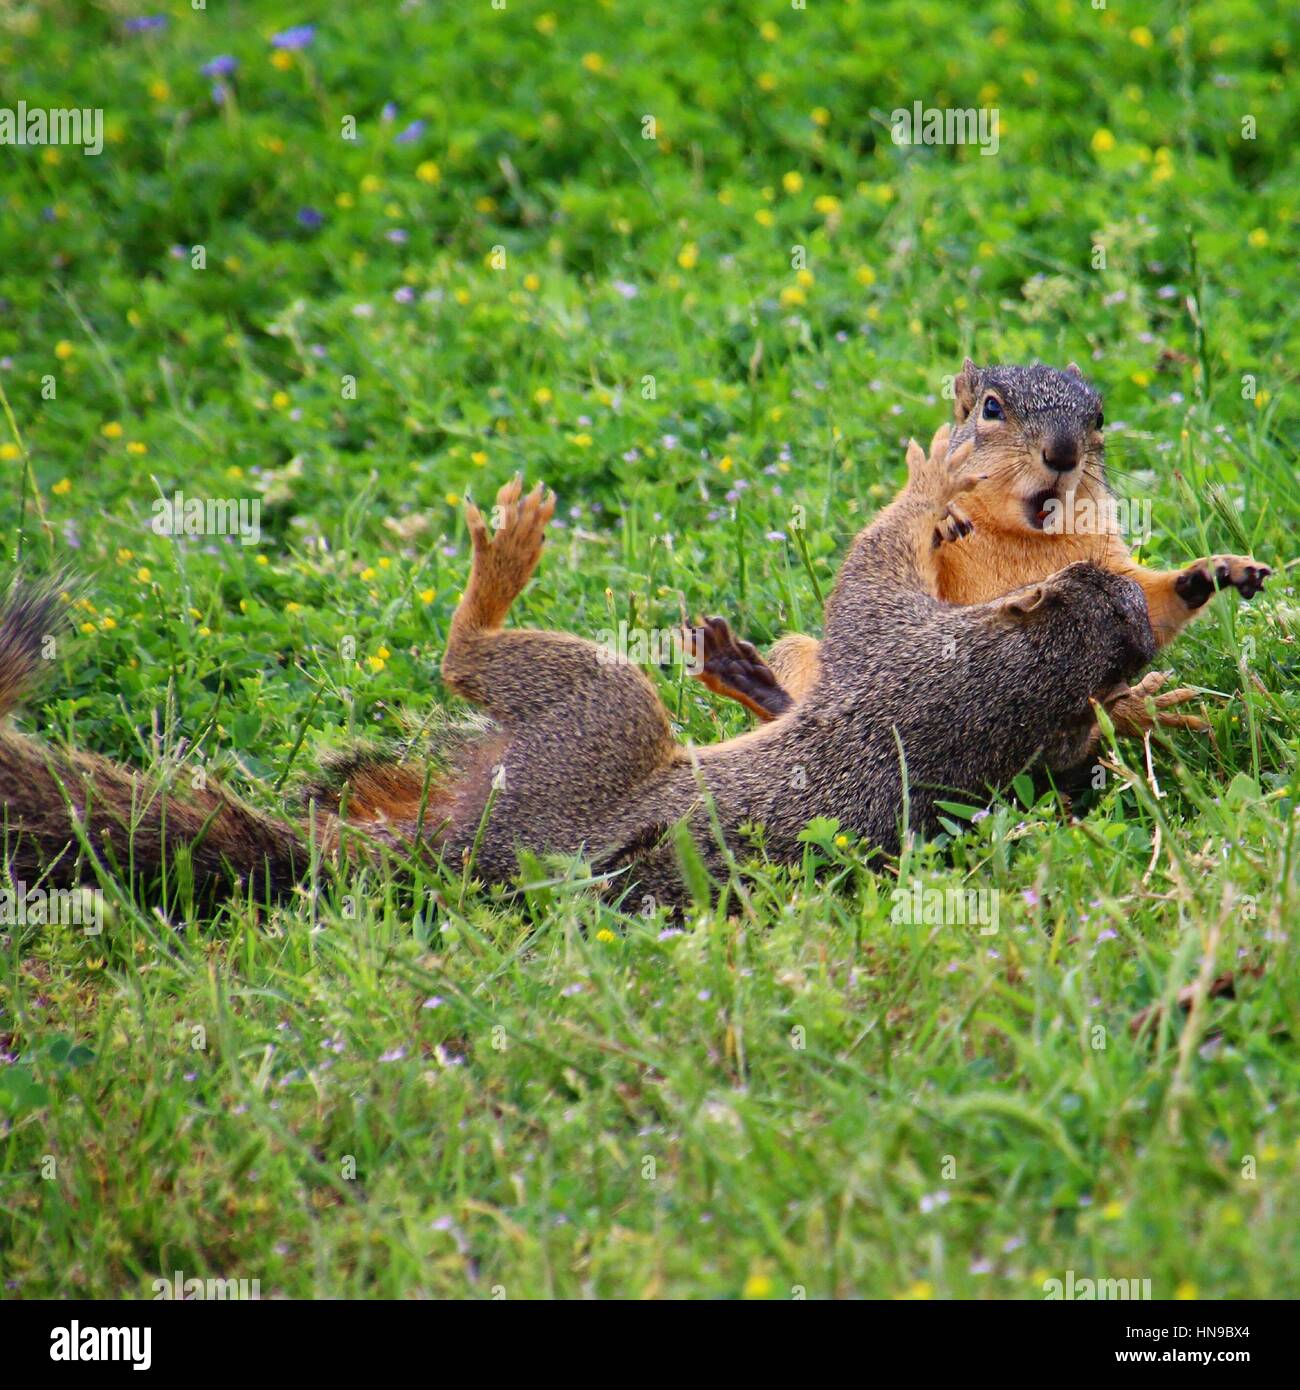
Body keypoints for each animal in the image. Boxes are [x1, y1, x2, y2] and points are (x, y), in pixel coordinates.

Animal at [0, 430, 1160, 912]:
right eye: (1102, 590)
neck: (1008, 697)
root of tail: (462, 855)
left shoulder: (900, 651)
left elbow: (869, 570)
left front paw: (925, 480)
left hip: (601, 716)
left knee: (467, 660)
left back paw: (496, 569)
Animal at [687, 361, 1271, 734]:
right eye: (991, 409)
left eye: (1099, 419)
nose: (1063, 453)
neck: (1023, 538)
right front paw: (942, 516)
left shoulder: (1107, 563)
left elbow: (1151, 602)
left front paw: (1215, 569)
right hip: (798, 655)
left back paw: (1139, 711)